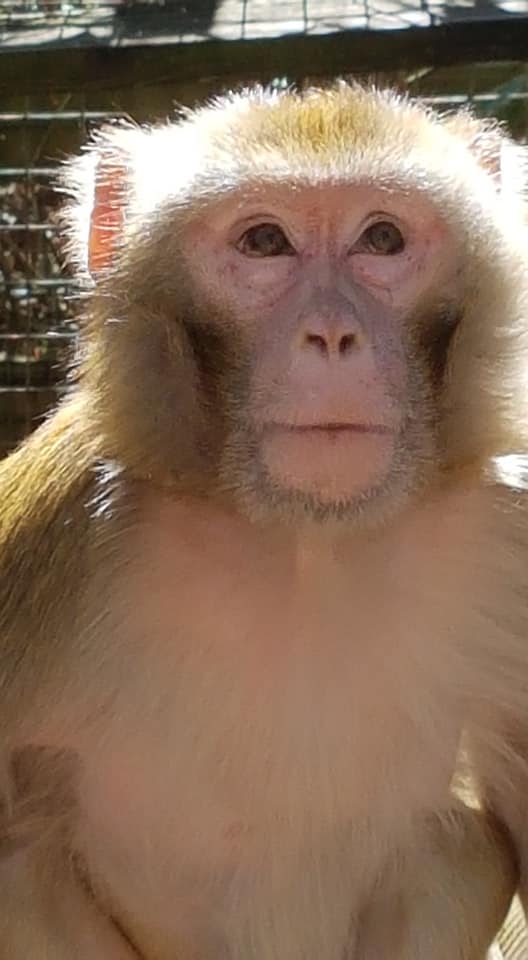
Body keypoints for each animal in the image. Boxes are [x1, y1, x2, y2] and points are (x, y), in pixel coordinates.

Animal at [1, 81, 528, 959]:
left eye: (382, 238)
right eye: (265, 242)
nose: (332, 337)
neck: (303, 542)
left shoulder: (506, 537)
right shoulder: (57, 535)